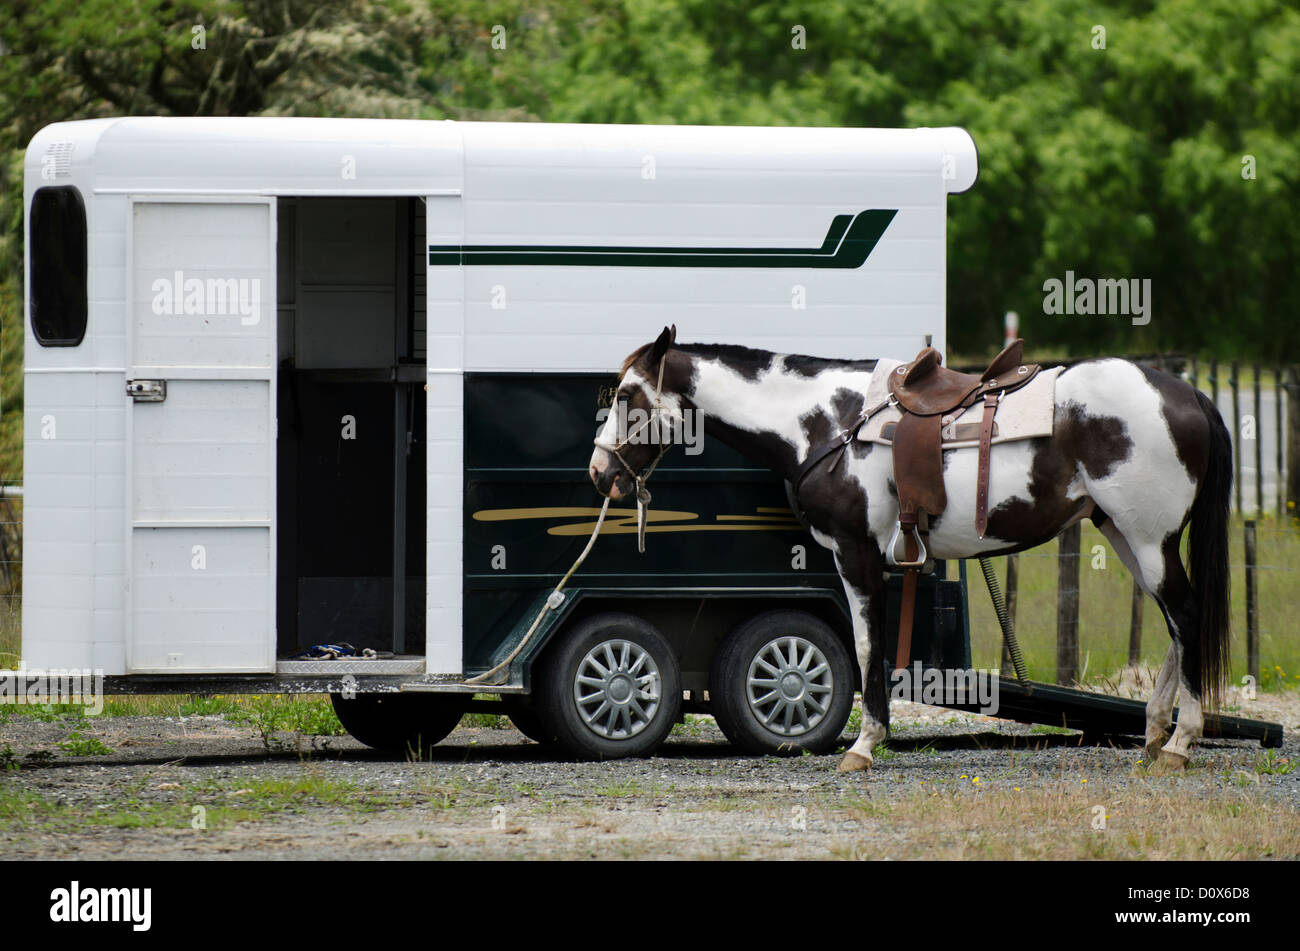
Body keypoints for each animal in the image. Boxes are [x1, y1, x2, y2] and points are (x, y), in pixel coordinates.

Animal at [589, 326, 1232, 773]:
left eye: (628, 395)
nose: (600, 473)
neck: (826, 422)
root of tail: (1188, 394)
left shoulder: (855, 554)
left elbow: (867, 645)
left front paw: (864, 746)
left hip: (1147, 538)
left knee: (1187, 615)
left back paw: (1180, 743)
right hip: (1128, 536)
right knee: (1175, 623)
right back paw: (1153, 737)